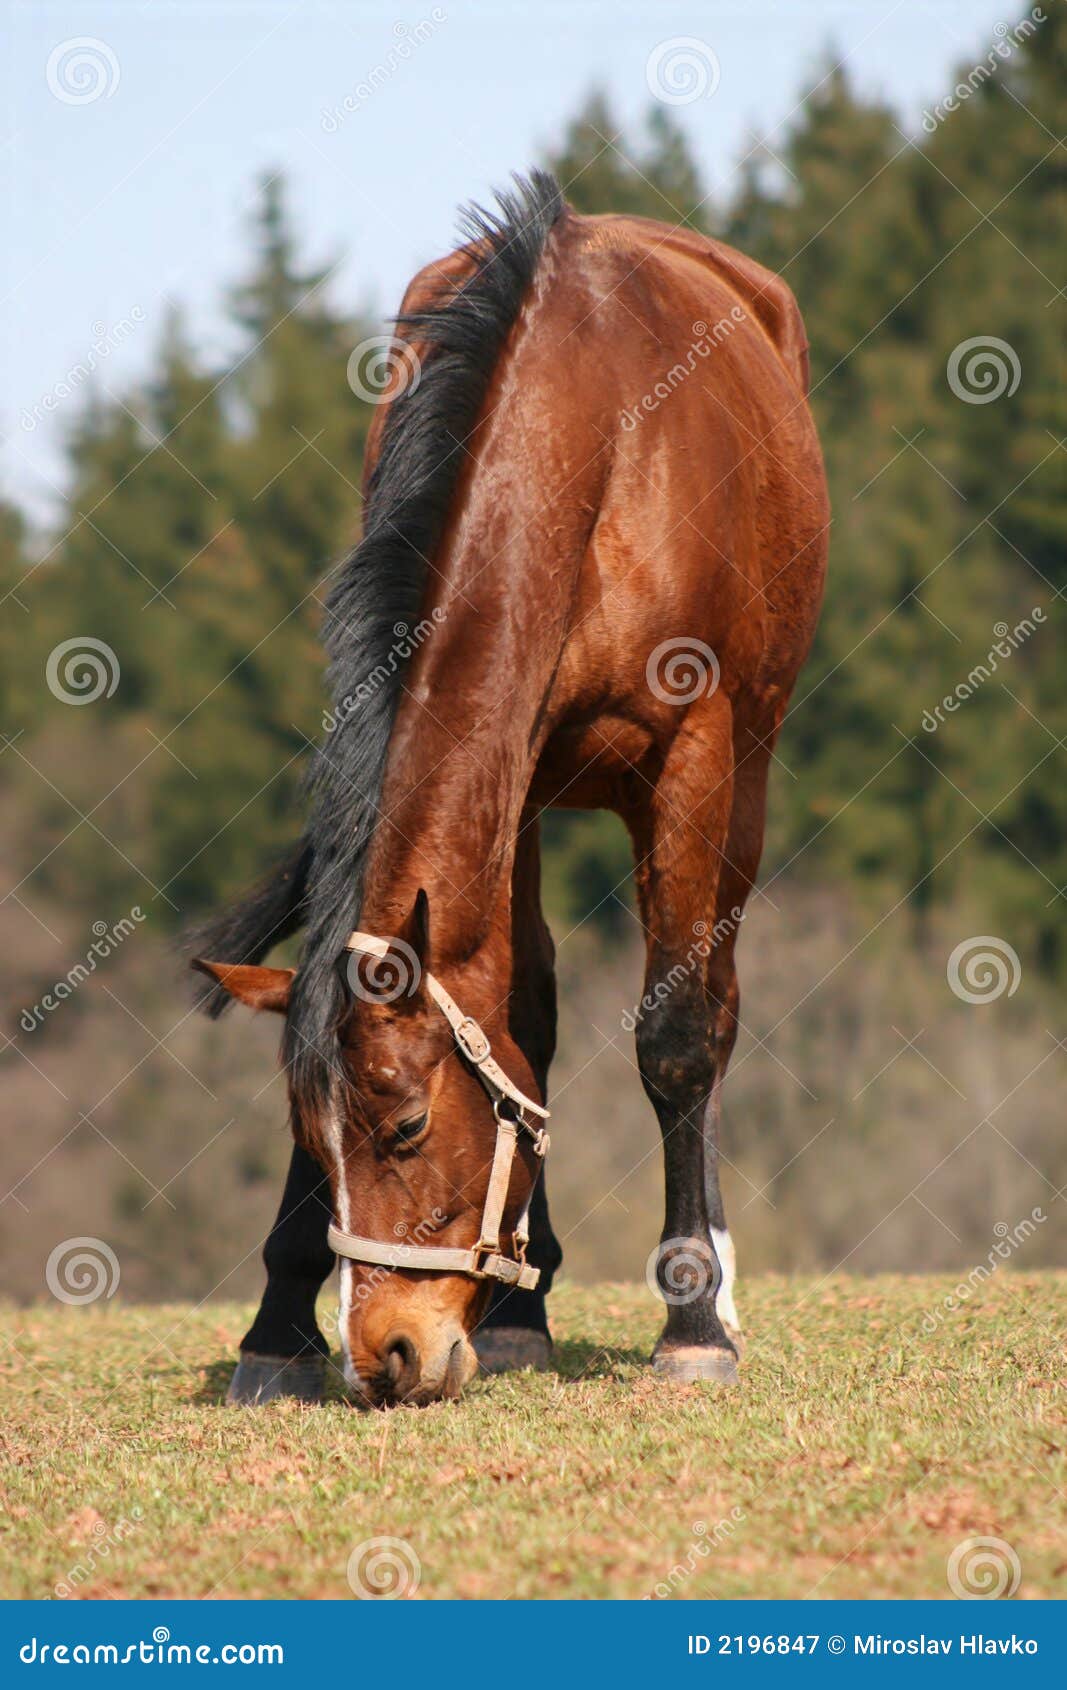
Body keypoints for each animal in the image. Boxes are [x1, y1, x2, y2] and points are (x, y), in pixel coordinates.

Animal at [190, 170, 828, 1408]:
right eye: (314, 1140)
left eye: (401, 1127)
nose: (386, 1354)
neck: (589, 443)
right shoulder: (514, 778)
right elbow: (520, 1019)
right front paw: (281, 1325)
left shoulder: (695, 755)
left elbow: (676, 1032)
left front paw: (691, 1323)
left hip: (746, 776)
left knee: (715, 999)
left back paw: (711, 1287)